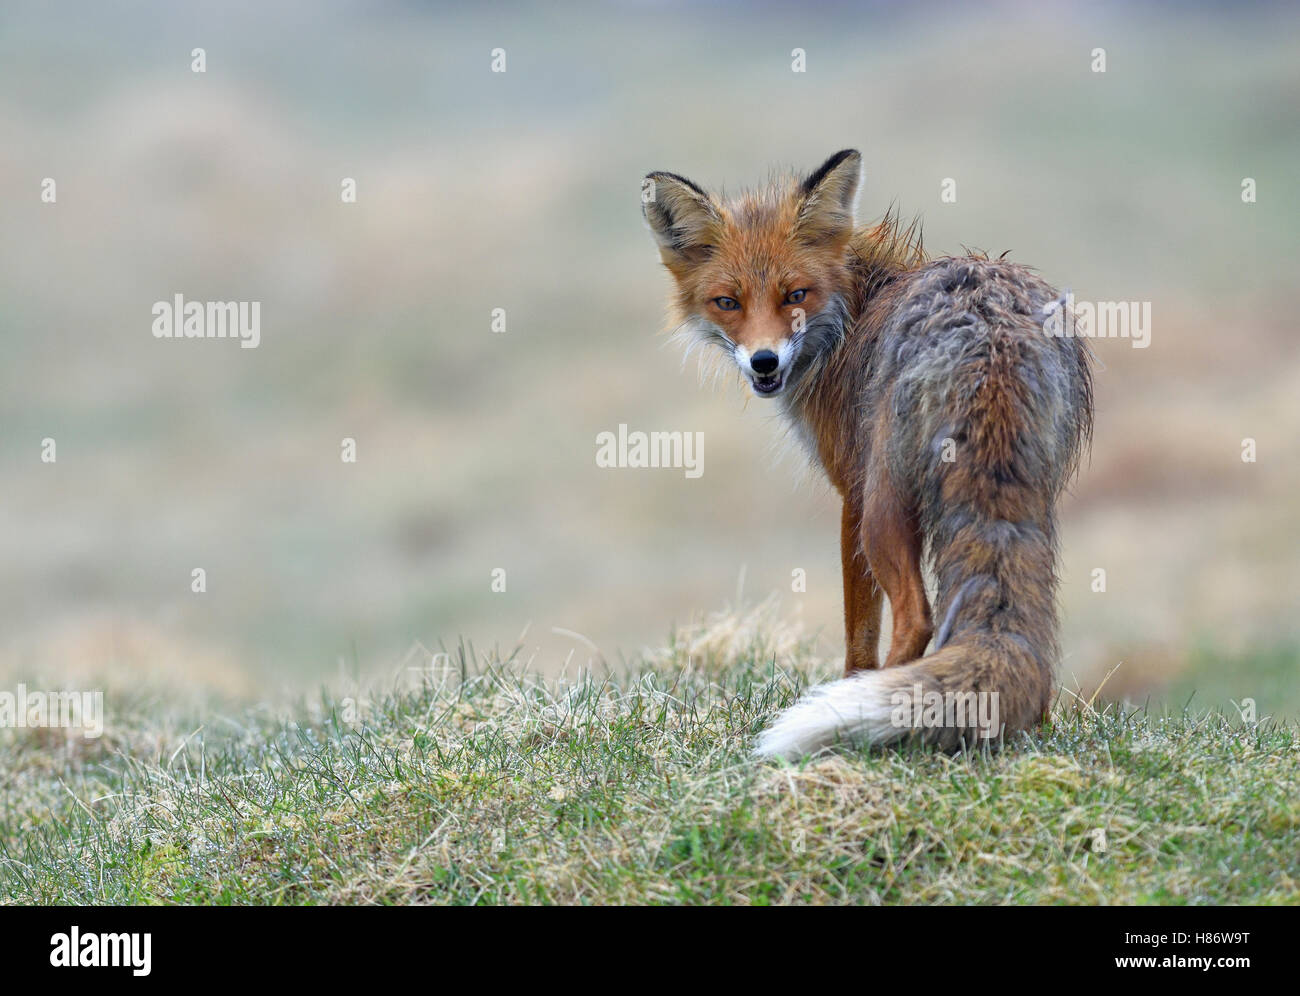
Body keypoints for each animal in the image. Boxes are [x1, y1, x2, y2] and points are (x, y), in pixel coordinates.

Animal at [641, 149, 1094, 759]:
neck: (850, 313)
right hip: (1036, 494)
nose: (764, 362)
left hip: (882, 504)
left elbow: (859, 634)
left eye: (795, 295)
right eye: (728, 303)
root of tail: (987, 333)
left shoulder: (851, 493)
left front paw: (849, 688)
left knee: (918, 617)